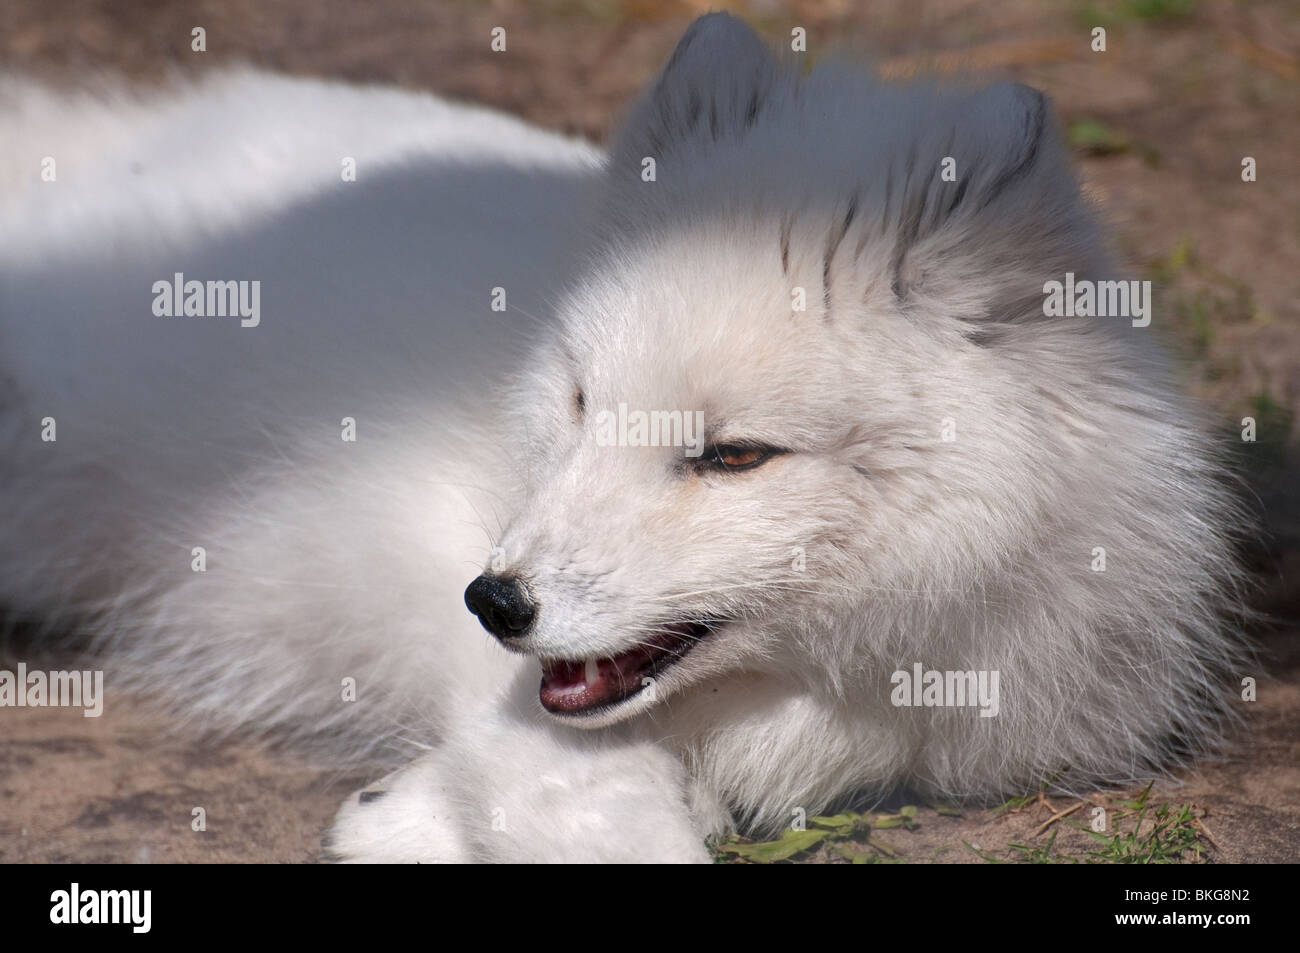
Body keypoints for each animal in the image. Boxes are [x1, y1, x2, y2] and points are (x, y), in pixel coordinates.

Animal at [0, 14, 1248, 862]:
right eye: (581, 402)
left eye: (733, 456)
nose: (495, 600)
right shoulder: (436, 558)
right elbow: (587, 798)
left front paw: (398, 813)